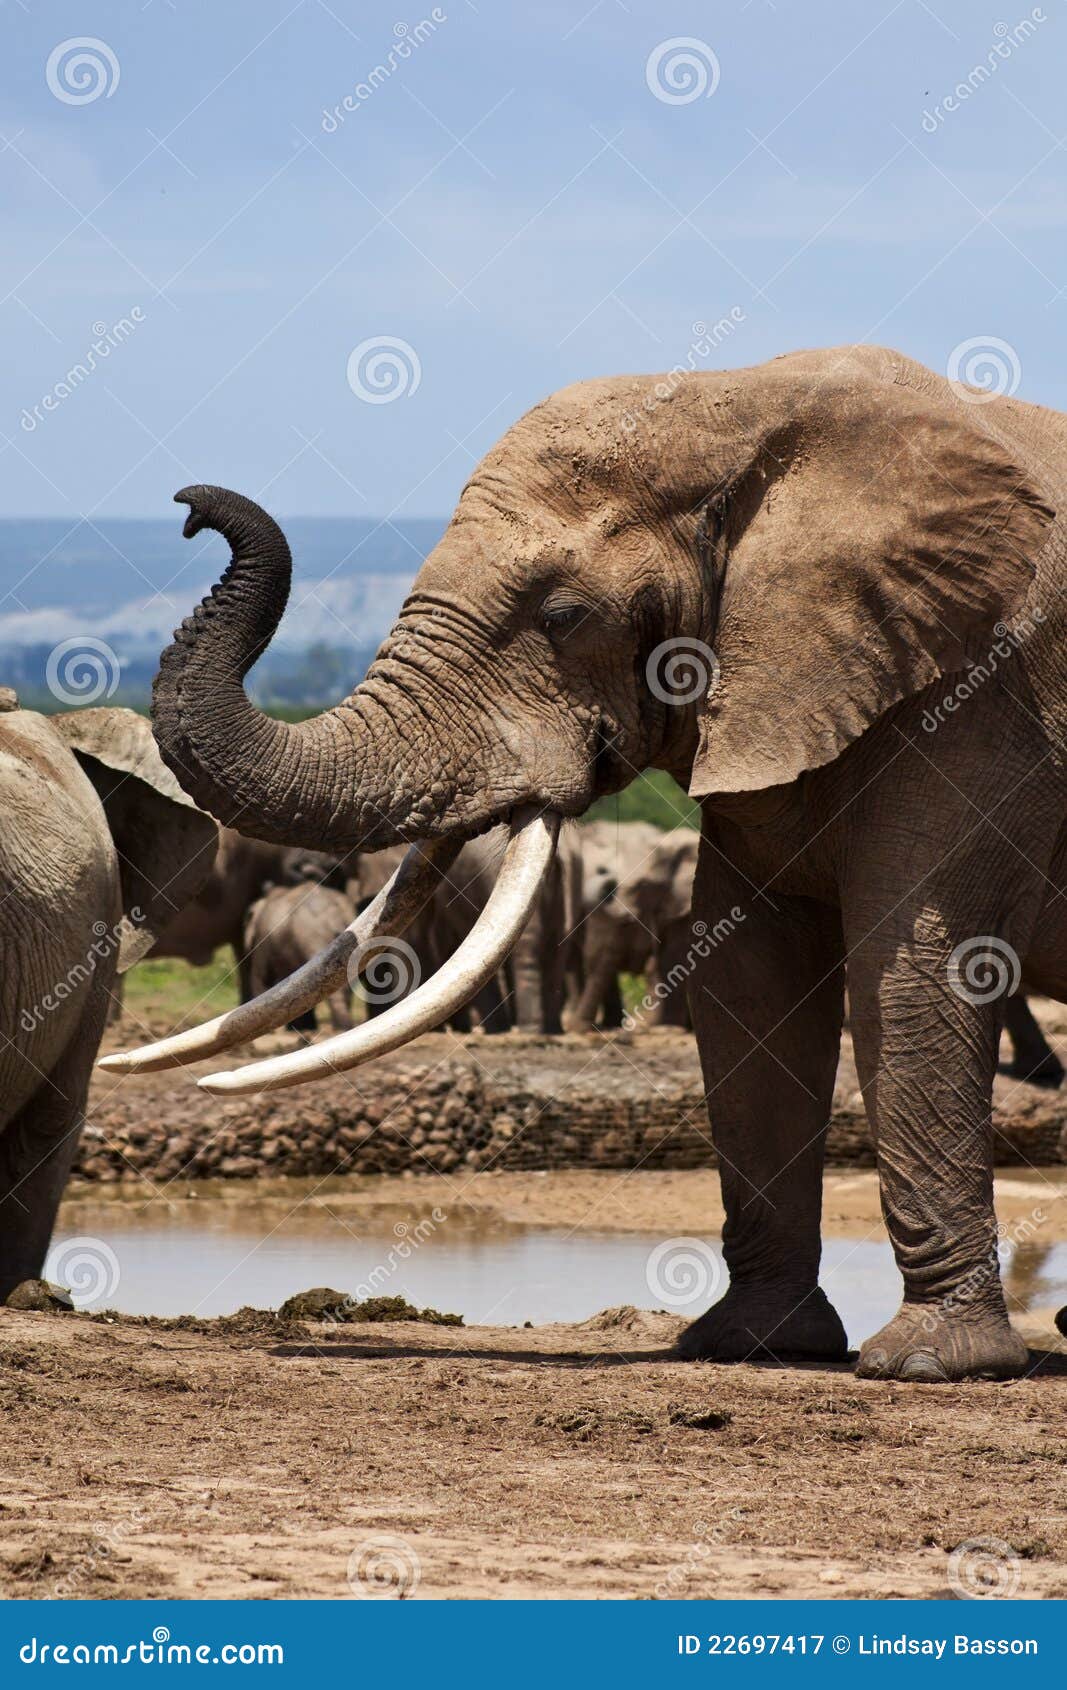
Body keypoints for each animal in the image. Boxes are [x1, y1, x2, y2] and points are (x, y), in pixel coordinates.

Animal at [116, 342, 1067, 1381]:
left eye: (563, 615)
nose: (191, 509)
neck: (742, 406)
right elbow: (751, 976)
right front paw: (748, 1345)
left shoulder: (975, 690)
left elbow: (916, 969)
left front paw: (925, 1365)